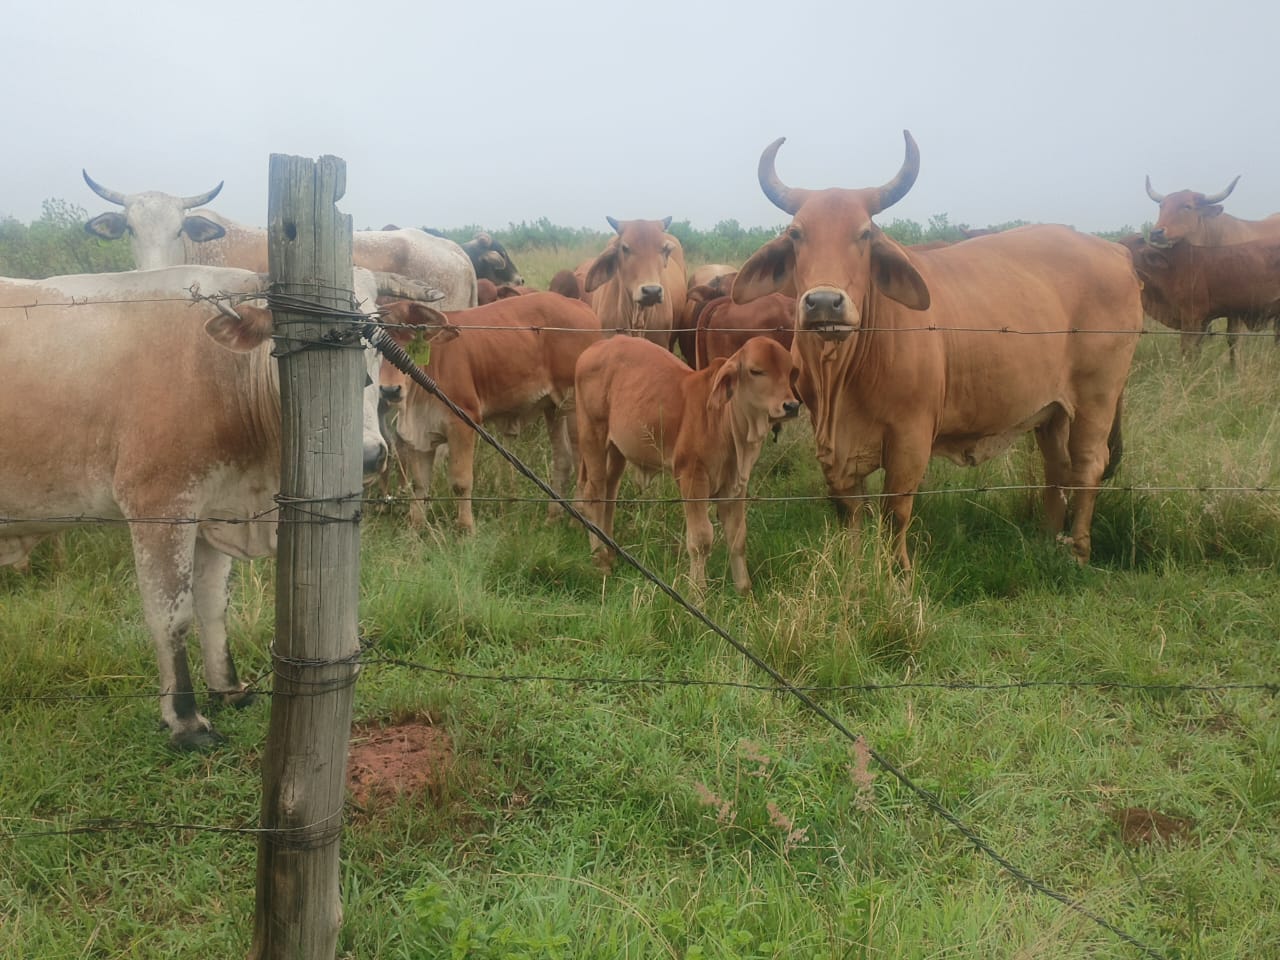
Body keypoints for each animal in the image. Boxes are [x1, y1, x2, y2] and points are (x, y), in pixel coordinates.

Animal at [0, 265, 449, 749]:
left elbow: (213, 607)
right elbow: (171, 617)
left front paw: (229, 689)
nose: (367, 456)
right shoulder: (161, 506)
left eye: (376, 343)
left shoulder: (213, 509)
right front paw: (185, 720)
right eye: (301, 343)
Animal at [378, 292, 602, 532]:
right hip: (554, 407)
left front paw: (466, 528)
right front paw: (416, 529)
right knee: (563, 459)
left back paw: (577, 520)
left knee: (584, 464)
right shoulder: (420, 433)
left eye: (410, 342)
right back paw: (553, 517)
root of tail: (579, 305)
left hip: (575, 408)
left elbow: (460, 481)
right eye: (379, 347)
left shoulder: (463, 422)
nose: (389, 390)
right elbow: (420, 485)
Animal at [575, 335, 800, 593]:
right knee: (593, 496)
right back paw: (601, 560)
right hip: (592, 436)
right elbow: (701, 539)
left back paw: (611, 551)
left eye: (789, 371)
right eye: (756, 371)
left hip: (617, 450)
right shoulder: (692, 477)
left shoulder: (735, 485)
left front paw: (744, 590)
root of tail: (597, 346)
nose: (791, 406)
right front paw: (698, 592)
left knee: (609, 496)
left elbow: (737, 536)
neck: (724, 422)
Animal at [732, 132, 1144, 570]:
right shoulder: (833, 445)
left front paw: (899, 569)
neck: (841, 373)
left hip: (1097, 397)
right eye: (796, 234)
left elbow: (895, 509)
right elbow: (851, 510)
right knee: (1057, 467)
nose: (824, 302)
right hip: (1052, 410)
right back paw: (1048, 539)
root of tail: (1116, 252)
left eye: (864, 234)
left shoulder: (910, 437)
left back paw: (1079, 550)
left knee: (1087, 465)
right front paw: (854, 563)